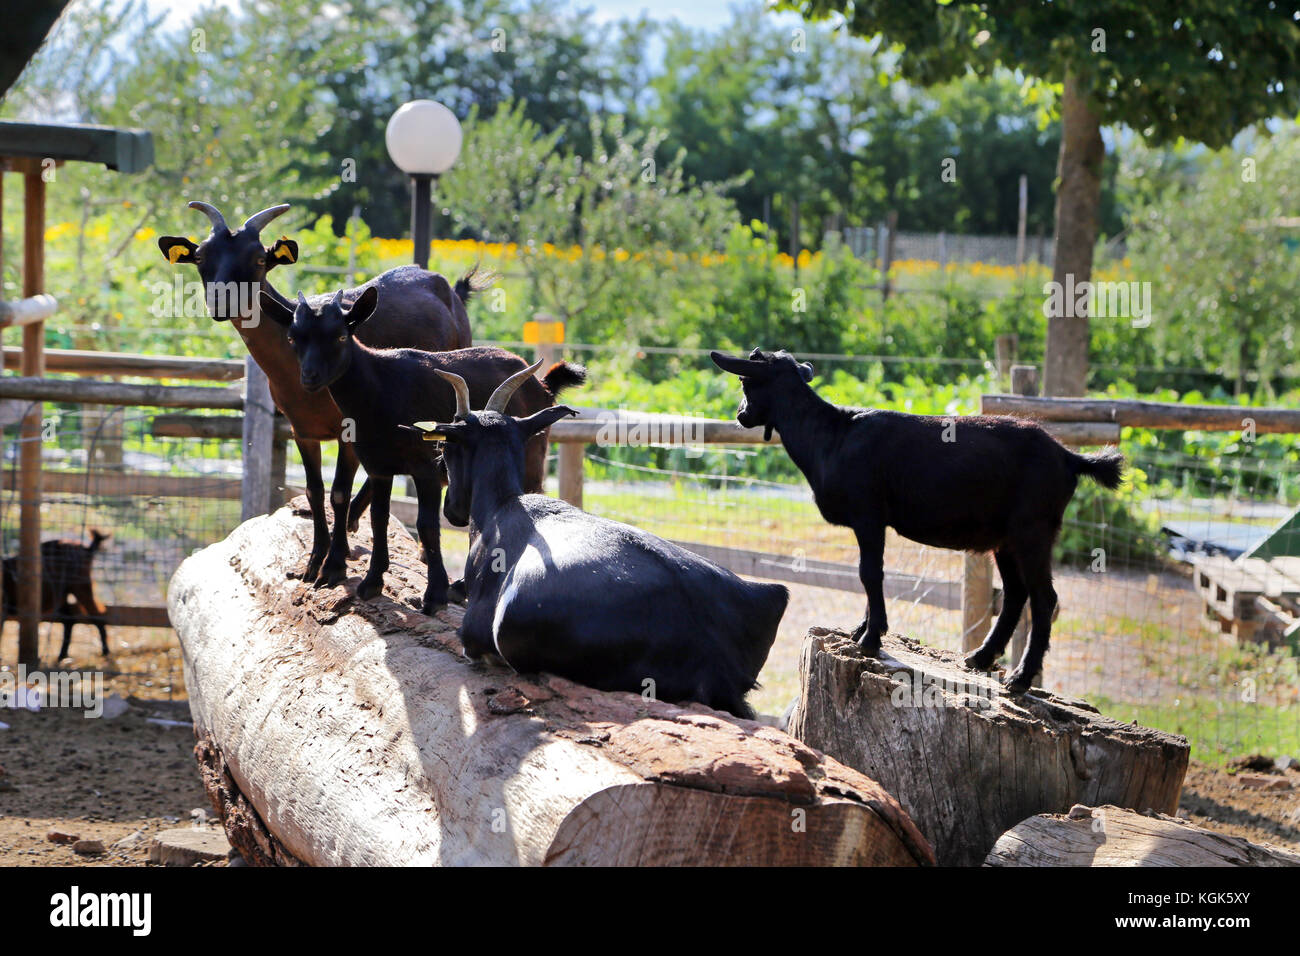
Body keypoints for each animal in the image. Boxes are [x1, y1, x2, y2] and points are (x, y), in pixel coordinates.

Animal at [1, 530, 111, 659]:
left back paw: (105, 652)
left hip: (80, 587)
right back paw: (62, 656)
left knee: (96, 615)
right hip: (61, 595)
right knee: (69, 620)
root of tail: (87, 549)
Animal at [158, 200, 485, 583]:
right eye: (200, 257)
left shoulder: (350, 427)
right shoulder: (302, 429)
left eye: (259, 259)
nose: (223, 300)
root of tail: (452, 290)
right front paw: (314, 560)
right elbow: (314, 491)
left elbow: (338, 492)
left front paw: (334, 564)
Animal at [259, 287, 586, 612]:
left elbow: (426, 524)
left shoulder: (425, 465)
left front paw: (435, 594)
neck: (379, 387)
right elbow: (379, 517)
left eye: (340, 336)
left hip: (531, 457)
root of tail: (543, 385)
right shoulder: (378, 466)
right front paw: (372, 582)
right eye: (293, 338)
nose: (309, 377)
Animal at [711, 348, 1124, 694]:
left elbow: (869, 573)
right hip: (1006, 538)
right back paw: (979, 658)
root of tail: (1070, 457)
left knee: (1043, 597)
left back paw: (1020, 679)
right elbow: (871, 572)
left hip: (1033, 529)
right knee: (1015, 593)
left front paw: (870, 639)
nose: (740, 415)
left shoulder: (868, 513)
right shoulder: (872, 521)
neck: (832, 438)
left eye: (745, 381)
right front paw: (861, 630)